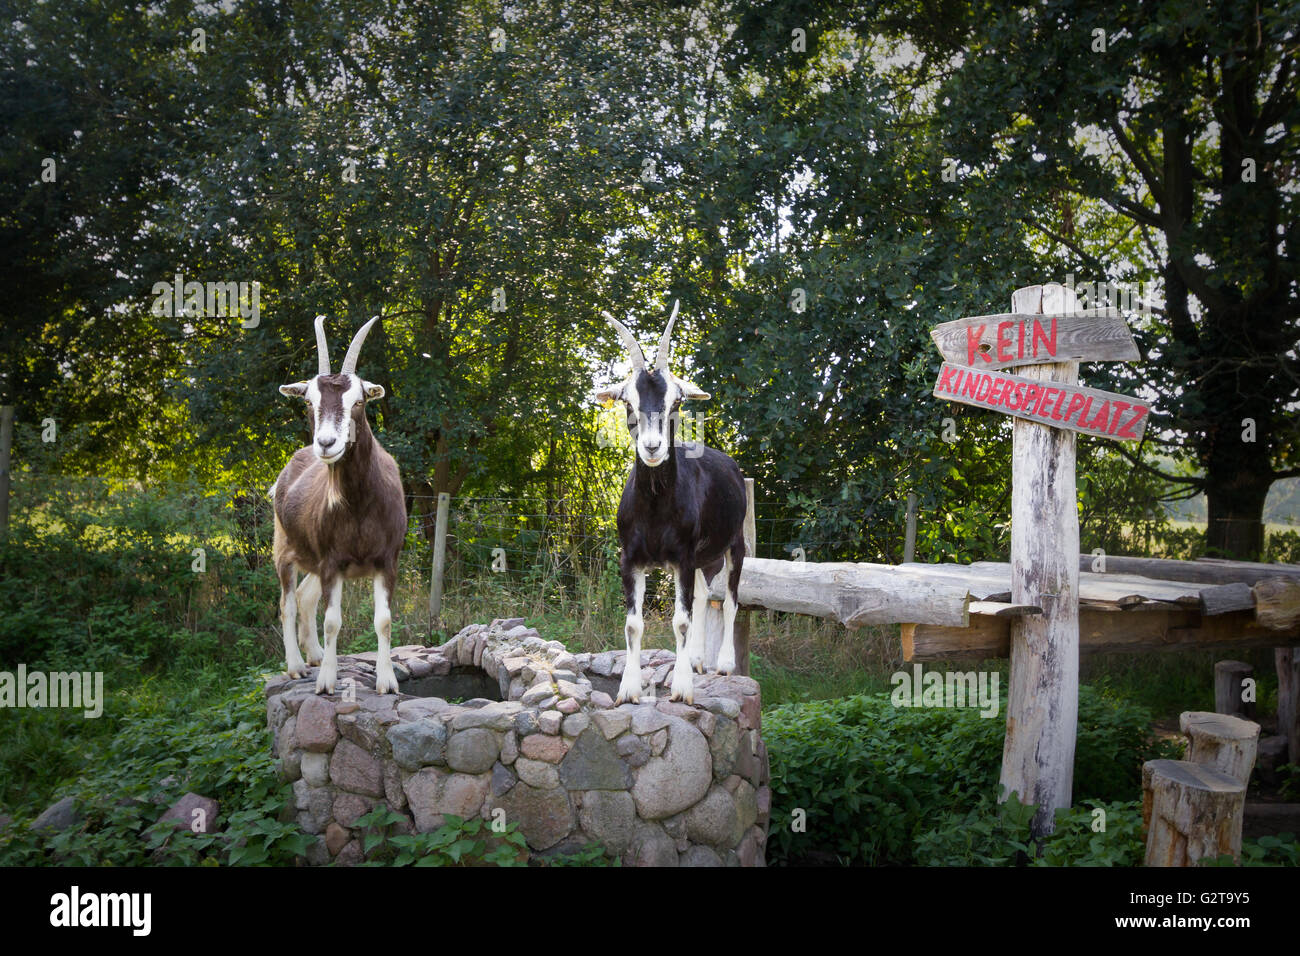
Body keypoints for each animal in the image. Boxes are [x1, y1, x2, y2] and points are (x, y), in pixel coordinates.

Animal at [272, 315, 407, 695]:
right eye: (308, 402)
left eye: (359, 401)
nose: (327, 443)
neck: (360, 505)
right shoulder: (332, 562)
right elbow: (332, 621)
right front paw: (327, 682)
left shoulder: (387, 561)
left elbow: (384, 621)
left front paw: (387, 681)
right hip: (284, 548)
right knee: (288, 603)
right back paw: (297, 666)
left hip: (313, 560)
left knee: (305, 597)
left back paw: (315, 655)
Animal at [595, 301, 747, 704]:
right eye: (627, 402)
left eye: (675, 401)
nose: (652, 447)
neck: (654, 509)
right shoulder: (631, 558)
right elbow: (633, 624)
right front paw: (628, 690)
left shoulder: (682, 556)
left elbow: (681, 619)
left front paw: (681, 689)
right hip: (700, 559)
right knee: (702, 597)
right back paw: (695, 659)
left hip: (734, 545)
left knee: (729, 600)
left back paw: (723, 664)